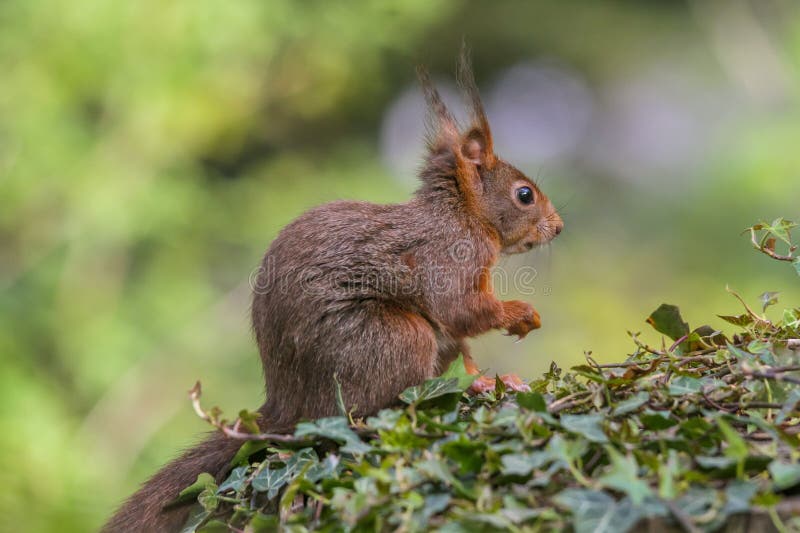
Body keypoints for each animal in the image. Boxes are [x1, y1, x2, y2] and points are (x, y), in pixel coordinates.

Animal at [103, 51, 563, 532]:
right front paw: (520, 314)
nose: (558, 227)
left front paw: (493, 376)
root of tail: (290, 407)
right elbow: (462, 310)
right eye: (525, 194)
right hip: (392, 340)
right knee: (391, 403)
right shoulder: (449, 255)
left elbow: (465, 342)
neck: (463, 215)